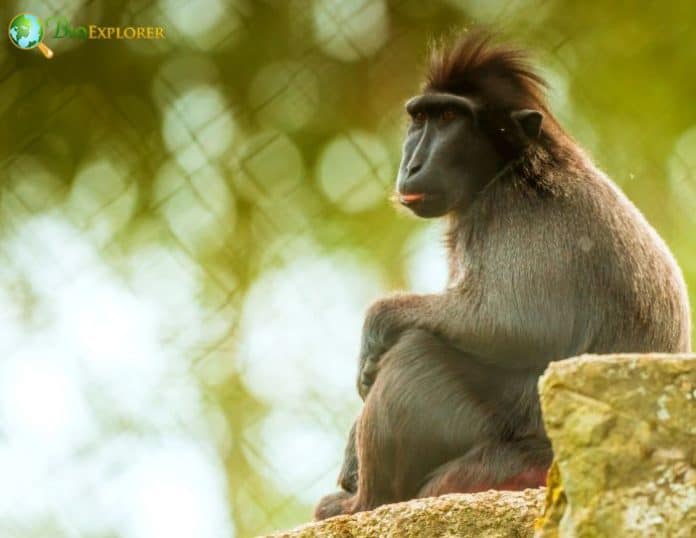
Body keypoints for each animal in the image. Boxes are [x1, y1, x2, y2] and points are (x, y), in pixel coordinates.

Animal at [314, 30, 691, 520]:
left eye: (449, 117)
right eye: (420, 119)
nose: (411, 166)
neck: (512, 165)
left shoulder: (517, 207)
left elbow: (514, 324)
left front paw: (377, 326)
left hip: (509, 457)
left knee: (417, 357)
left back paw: (365, 504)